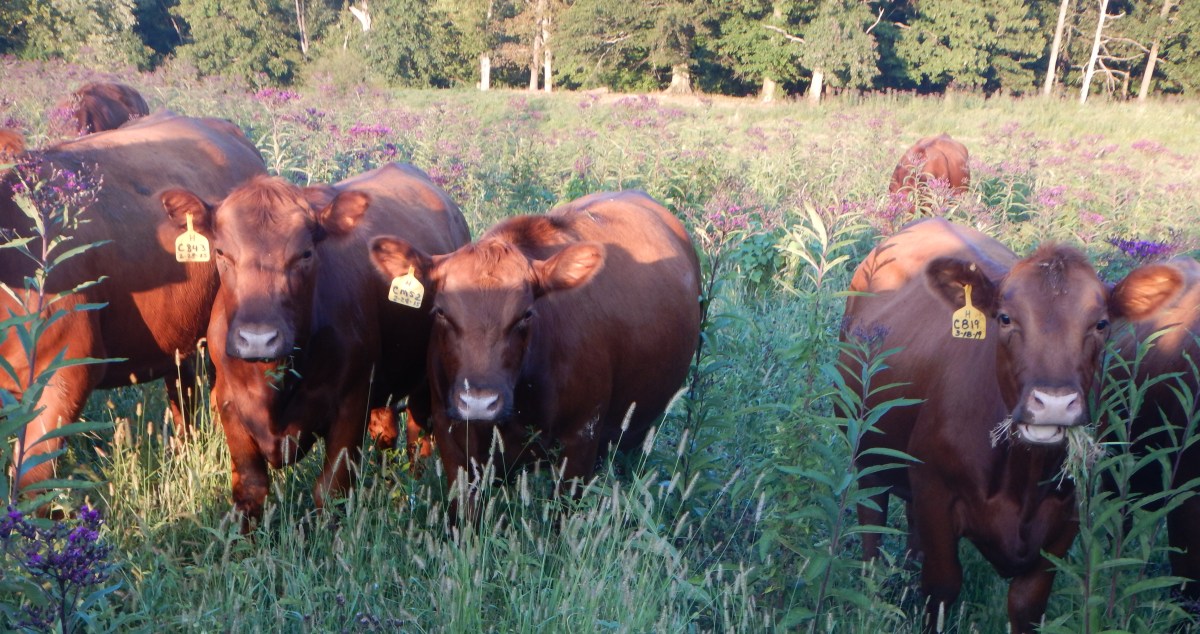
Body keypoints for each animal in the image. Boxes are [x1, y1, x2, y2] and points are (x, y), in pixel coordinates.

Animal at [160, 164, 470, 526]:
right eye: (222, 253)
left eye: (305, 254)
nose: (257, 339)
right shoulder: (229, 404)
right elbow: (250, 491)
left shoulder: (350, 405)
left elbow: (331, 490)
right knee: (387, 432)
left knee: (419, 438)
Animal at [839, 218, 1172, 632]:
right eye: (1006, 318)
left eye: (1100, 324)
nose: (1053, 403)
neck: (1020, 482)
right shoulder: (935, 491)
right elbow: (940, 588)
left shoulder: (1066, 516)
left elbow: (1027, 605)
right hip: (868, 453)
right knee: (871, 525)